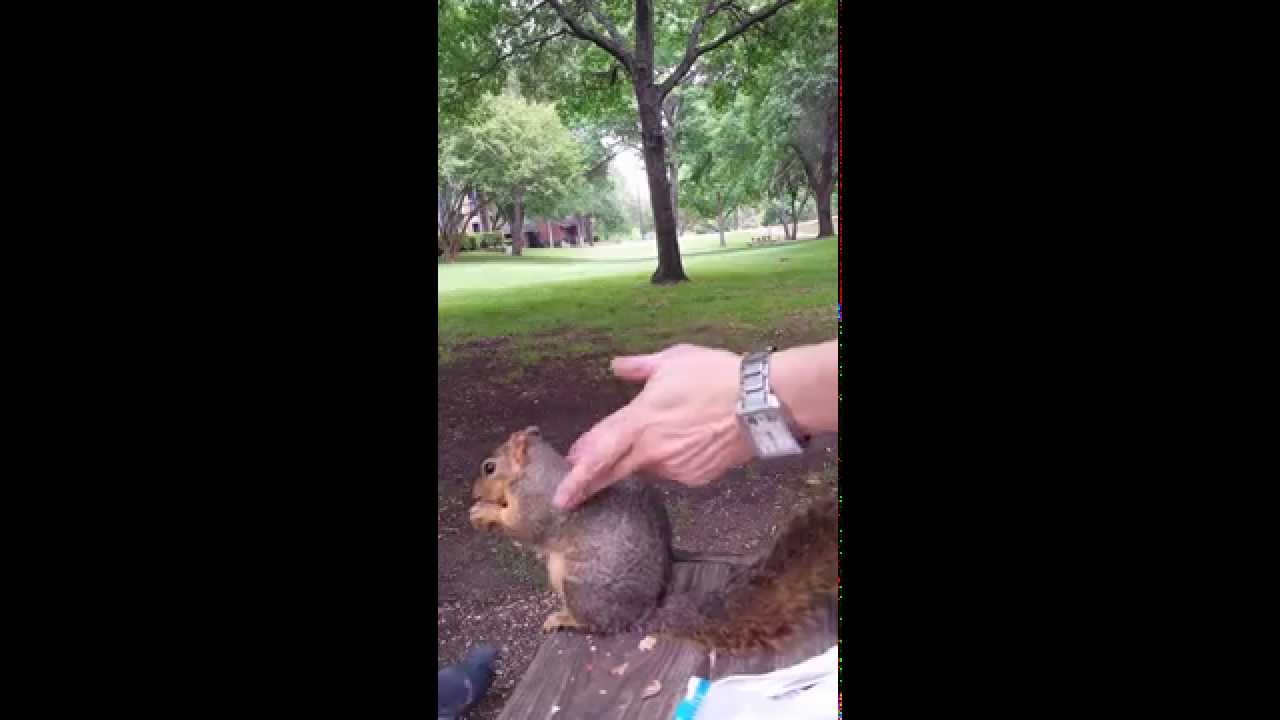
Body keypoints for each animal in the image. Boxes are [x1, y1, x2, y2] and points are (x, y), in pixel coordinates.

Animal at [468, 426, 837, 652]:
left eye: (489, 467)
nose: (473, 493)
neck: (535, 472)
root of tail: (642, 614)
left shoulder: (540, 504)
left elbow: (523, 527)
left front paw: (483, 513)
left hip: (579, 588)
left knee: (597, 624)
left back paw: (564, 618)